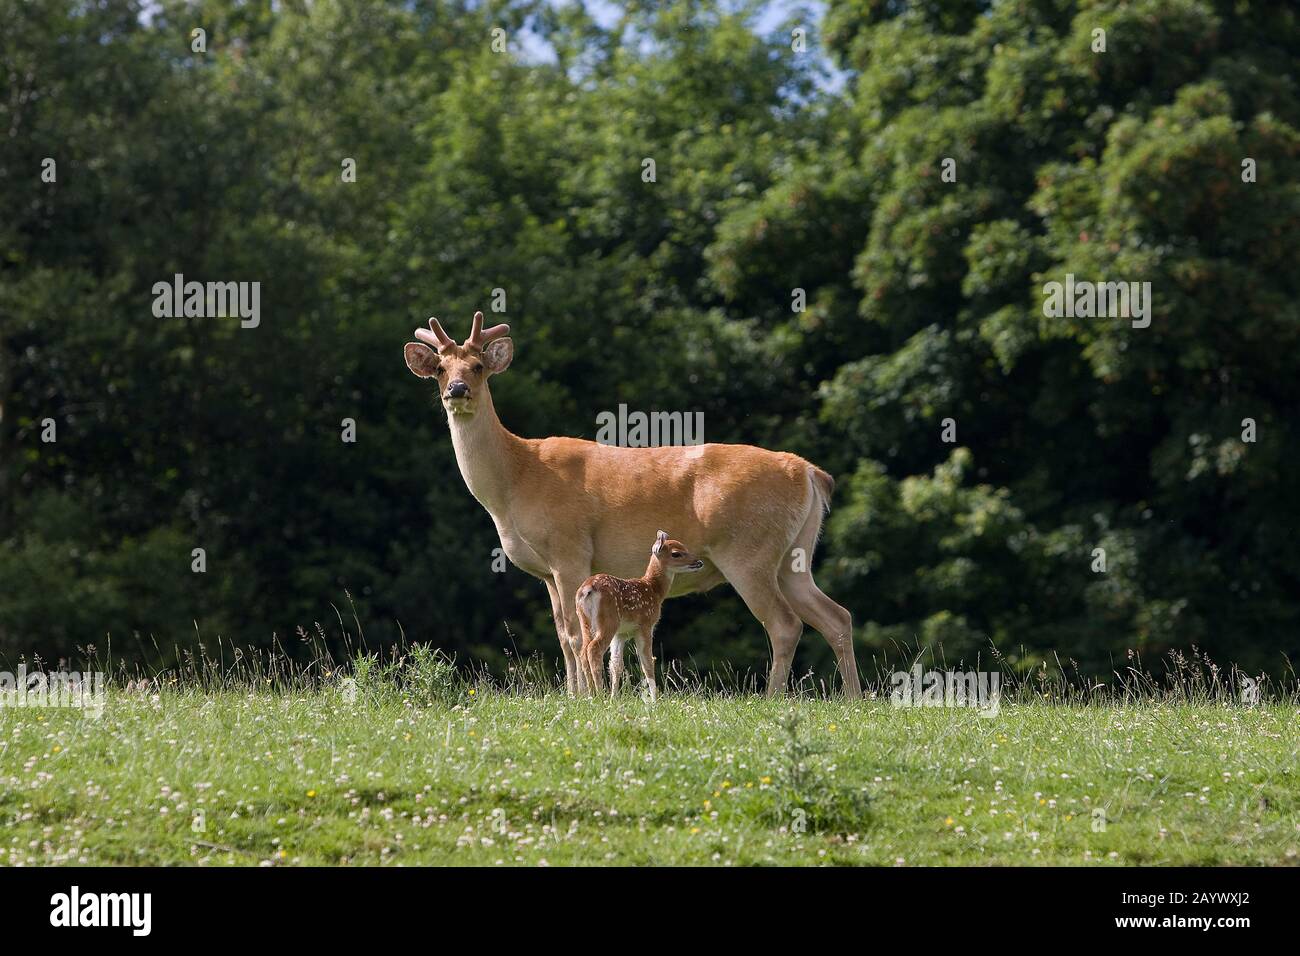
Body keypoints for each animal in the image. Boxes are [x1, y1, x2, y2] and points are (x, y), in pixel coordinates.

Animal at [576, 531, 704, 701]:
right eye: (676, 553)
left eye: (686, 548)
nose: (699, 562)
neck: (654, 590)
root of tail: (588, 588)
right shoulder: (645, 624)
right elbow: (647, 662)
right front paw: (655, 699)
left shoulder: (621, 634)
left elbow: (616, 665)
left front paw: (614, 698)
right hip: (608, 621)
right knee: (593, 649)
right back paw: (599, 694)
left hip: (585, 621)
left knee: (583, 651)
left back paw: (591, 695)